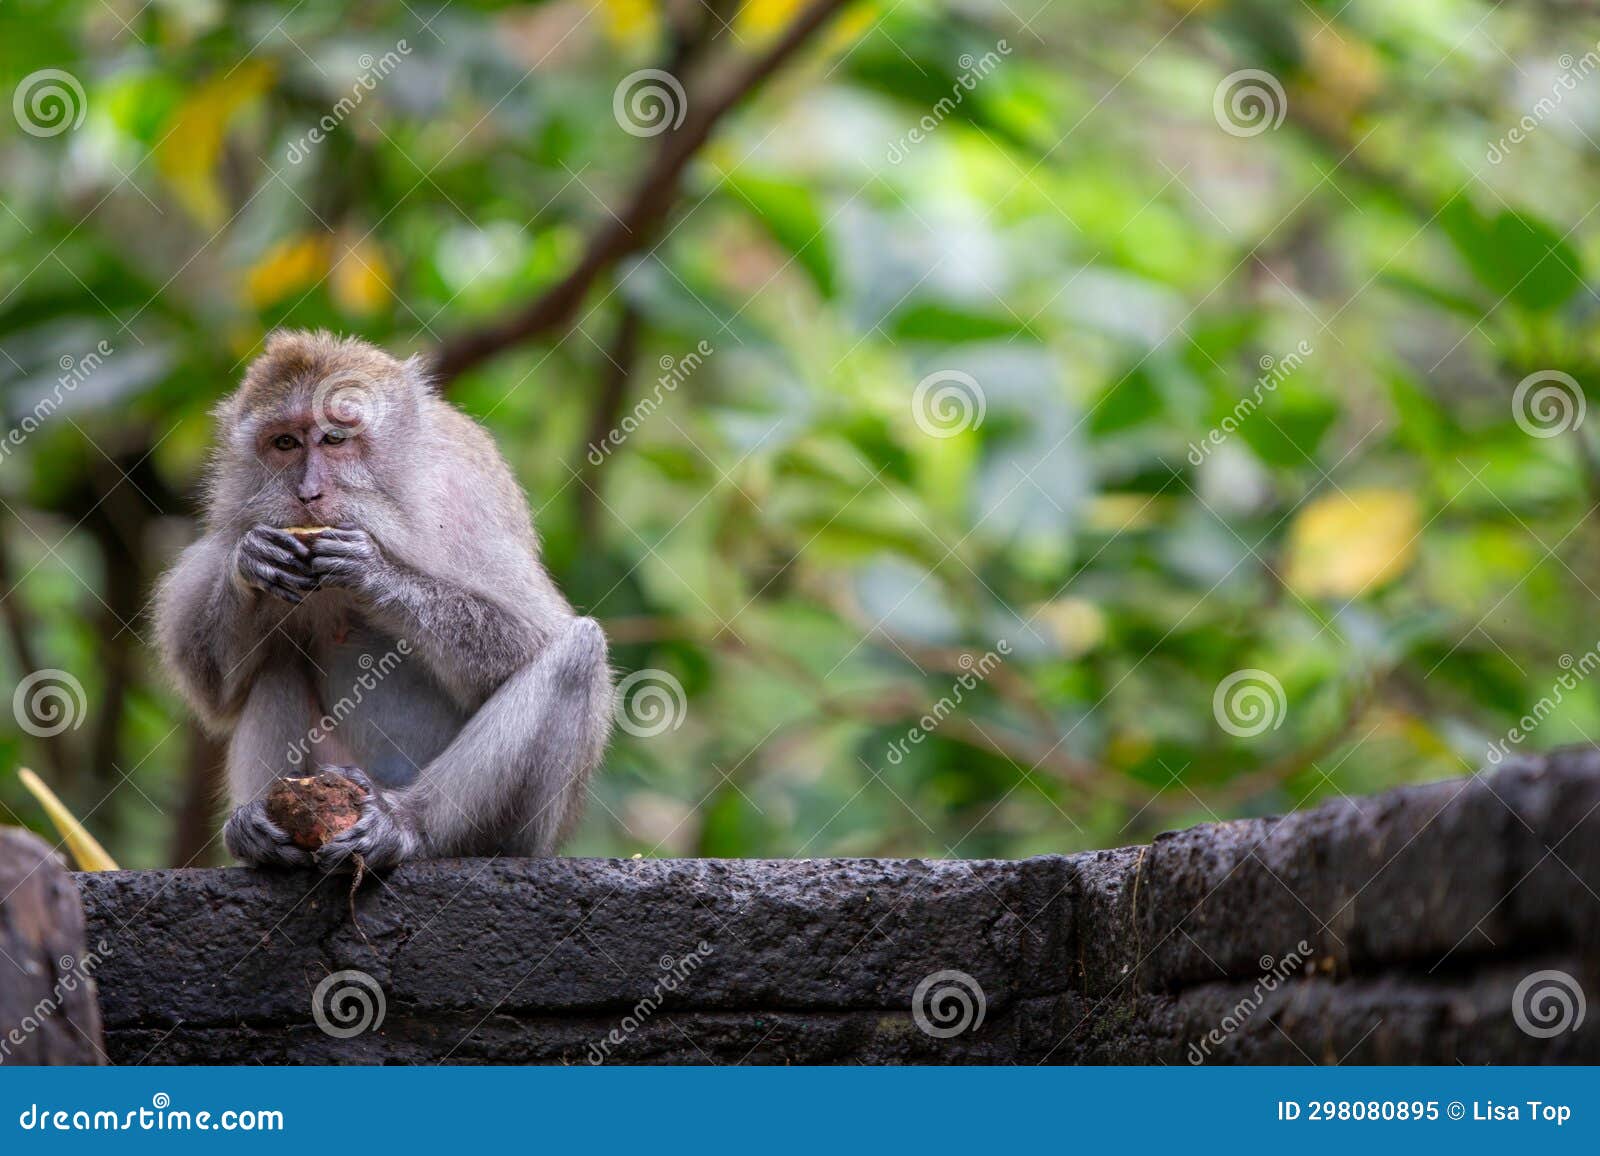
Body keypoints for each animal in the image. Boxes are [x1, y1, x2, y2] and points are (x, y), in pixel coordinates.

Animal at [153, 330, 613, 870]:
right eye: (285, 443)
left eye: (335, 438)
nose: (308, 494)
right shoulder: (233, 518)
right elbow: (214, 691)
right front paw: (251, 563)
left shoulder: (467, 500)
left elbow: (532, 640)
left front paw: (375, 574)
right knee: (277, 660)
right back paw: (258, 832)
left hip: (523, 834)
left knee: (577, 653)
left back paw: (407, 827)